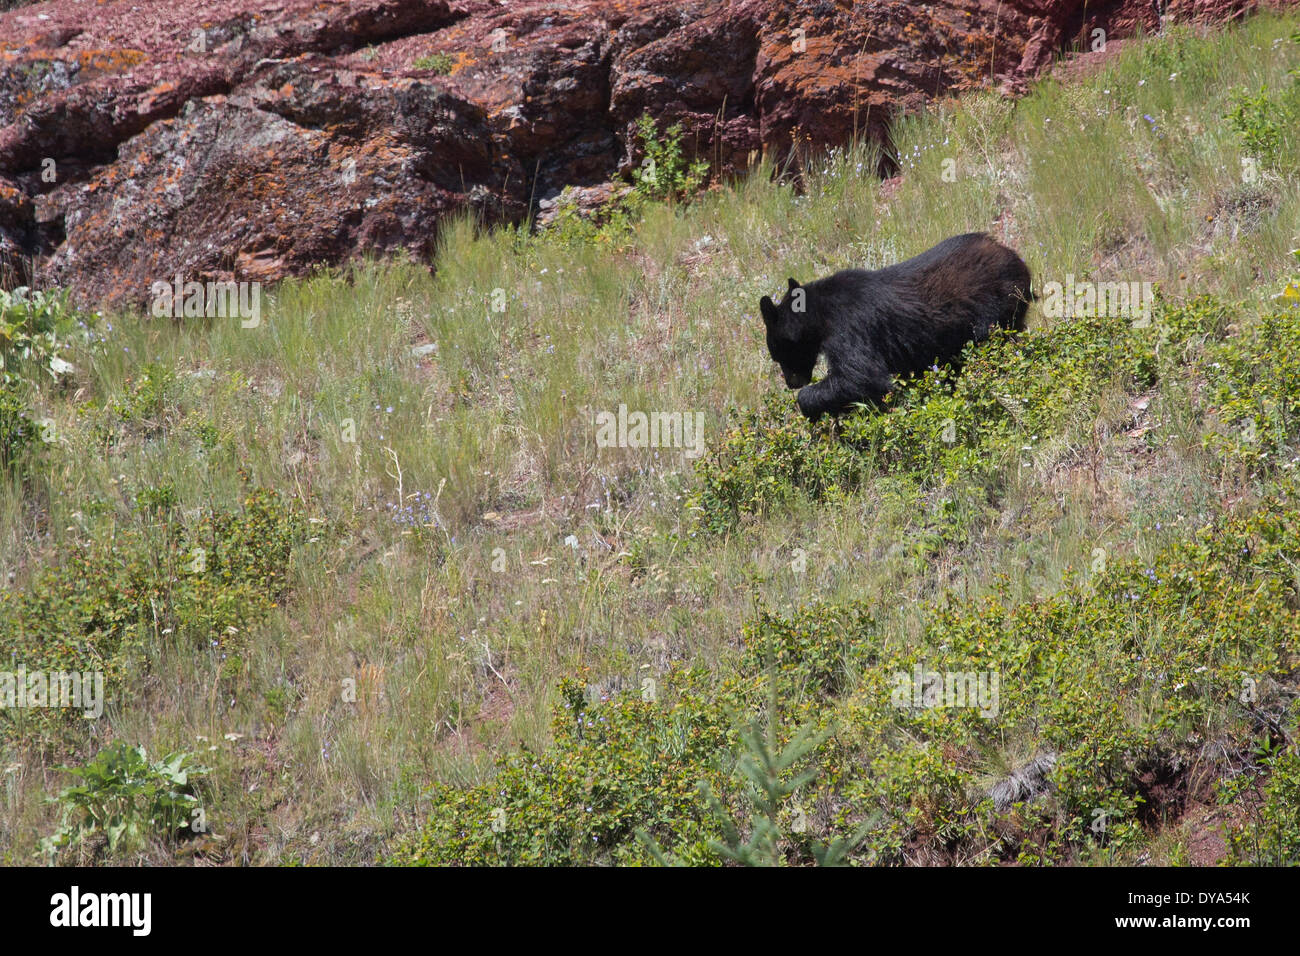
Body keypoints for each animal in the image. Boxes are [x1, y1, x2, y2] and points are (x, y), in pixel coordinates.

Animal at [759, 232, 1034, 421]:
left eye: (776, 354)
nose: (791, 383)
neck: (819, 313)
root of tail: (1015, 257)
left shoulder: (849, 327)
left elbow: (861, 376)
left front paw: (808, 404)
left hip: (996, 302)